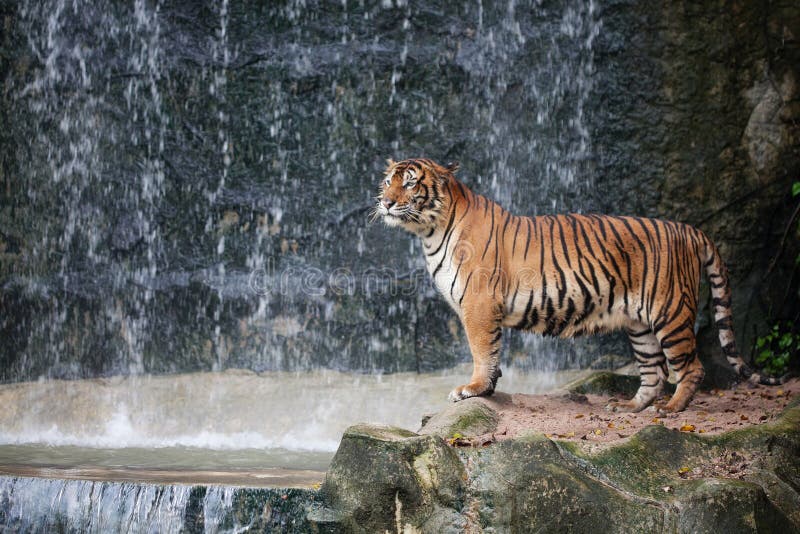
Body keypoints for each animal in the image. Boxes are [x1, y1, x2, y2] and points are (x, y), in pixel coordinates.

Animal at [376, 157, 783, 412]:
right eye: (387, 181)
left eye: (410, 182)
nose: (386, 202)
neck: (429, 232)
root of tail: (688, 228)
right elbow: (493, 353)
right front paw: (488, 388)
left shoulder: (478, 304)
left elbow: (481, 351)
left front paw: (472, 389)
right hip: (640, 325)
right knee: (654, 372)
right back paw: (630, 407)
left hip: (670, 313)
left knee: (691, 368)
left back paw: (671, 409)